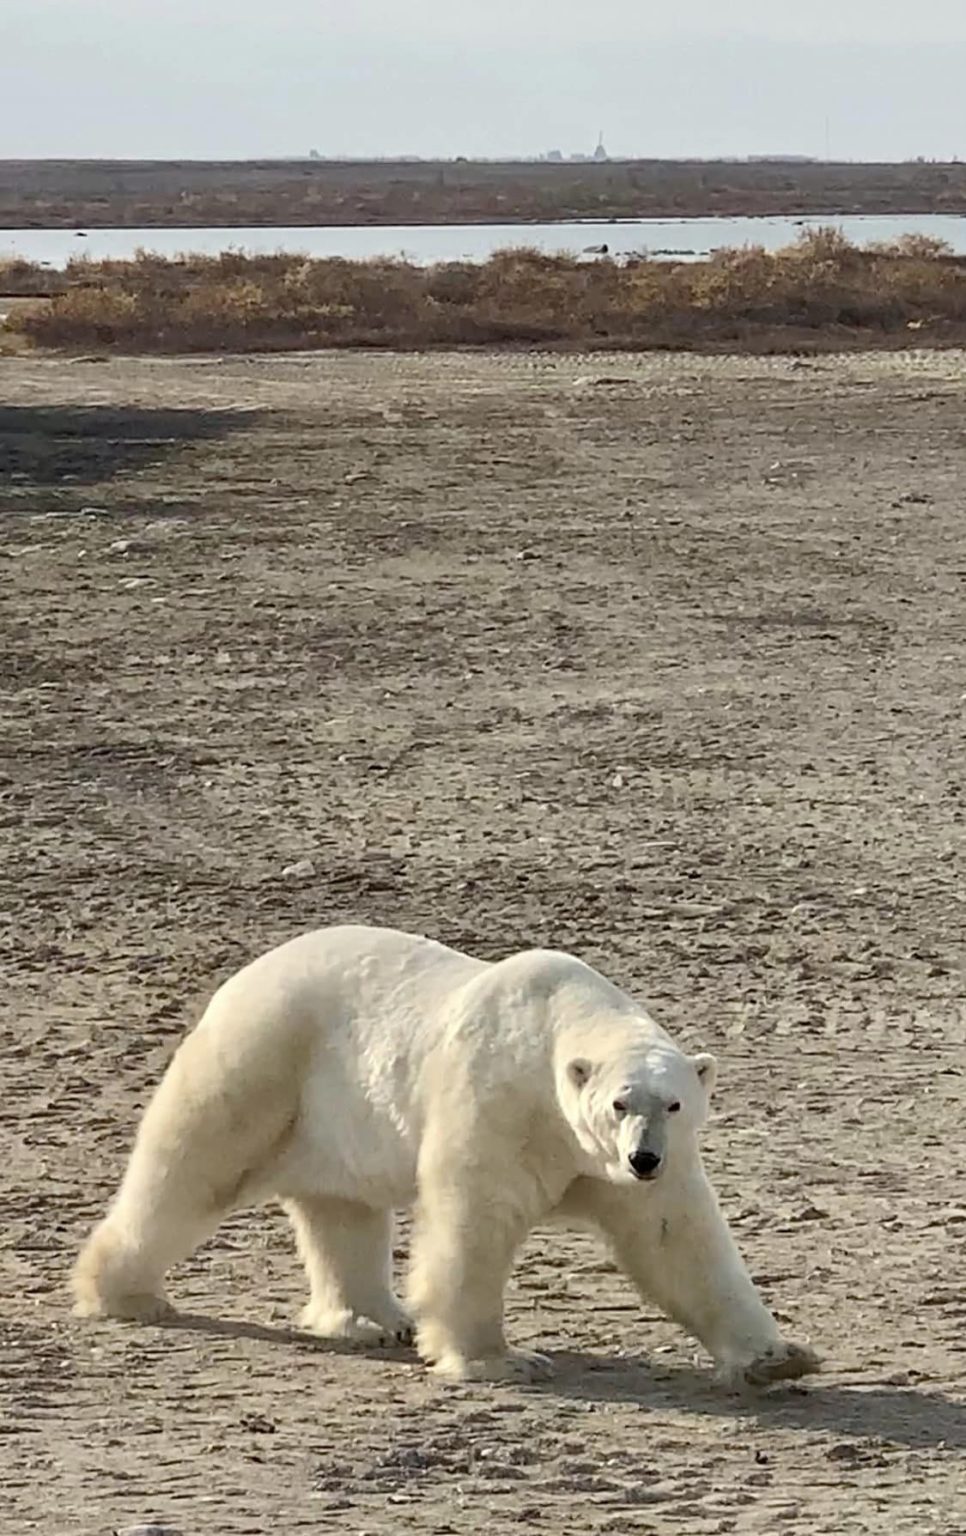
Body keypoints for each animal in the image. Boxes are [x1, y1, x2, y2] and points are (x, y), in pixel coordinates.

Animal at [72, 924, 819, 1388]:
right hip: (266, 1062)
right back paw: (125, 1292)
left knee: (343, 1212)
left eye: (674, 1104)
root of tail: (242, 978)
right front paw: (500, 1360)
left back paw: (372, 1321)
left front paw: (777, 1358)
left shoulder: (633, 1168)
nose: (644, 1159)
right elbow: (474, 1224)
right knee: (191, 1167)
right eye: (618, 1103)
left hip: (334, 1114)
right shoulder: (499, 1105)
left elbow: (676, 1238)